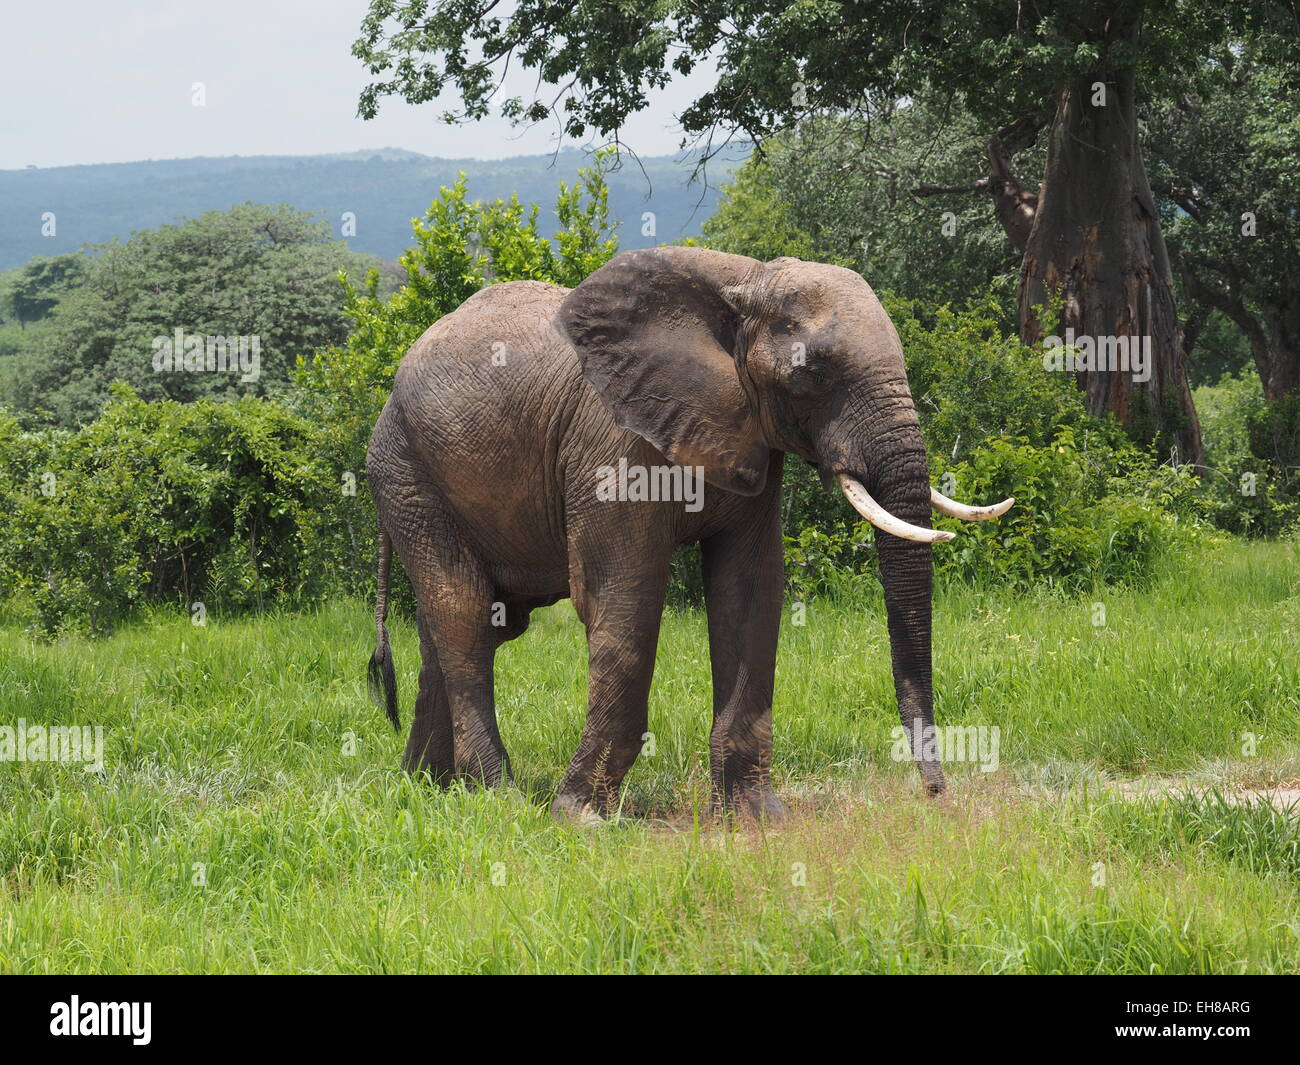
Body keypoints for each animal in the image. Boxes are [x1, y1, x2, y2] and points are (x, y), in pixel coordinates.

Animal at [365, 246, 1011, 822]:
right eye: (813, 374)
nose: (936, 793)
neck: (743, 280)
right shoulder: (613, 442)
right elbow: (622, 597)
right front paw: (581, 820)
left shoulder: (749, 436)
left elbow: (749, 593)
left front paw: (755, 818)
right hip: (406, 470)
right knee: (467, 615)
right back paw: (496, 799)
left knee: (457, 624)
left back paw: (424, 787)